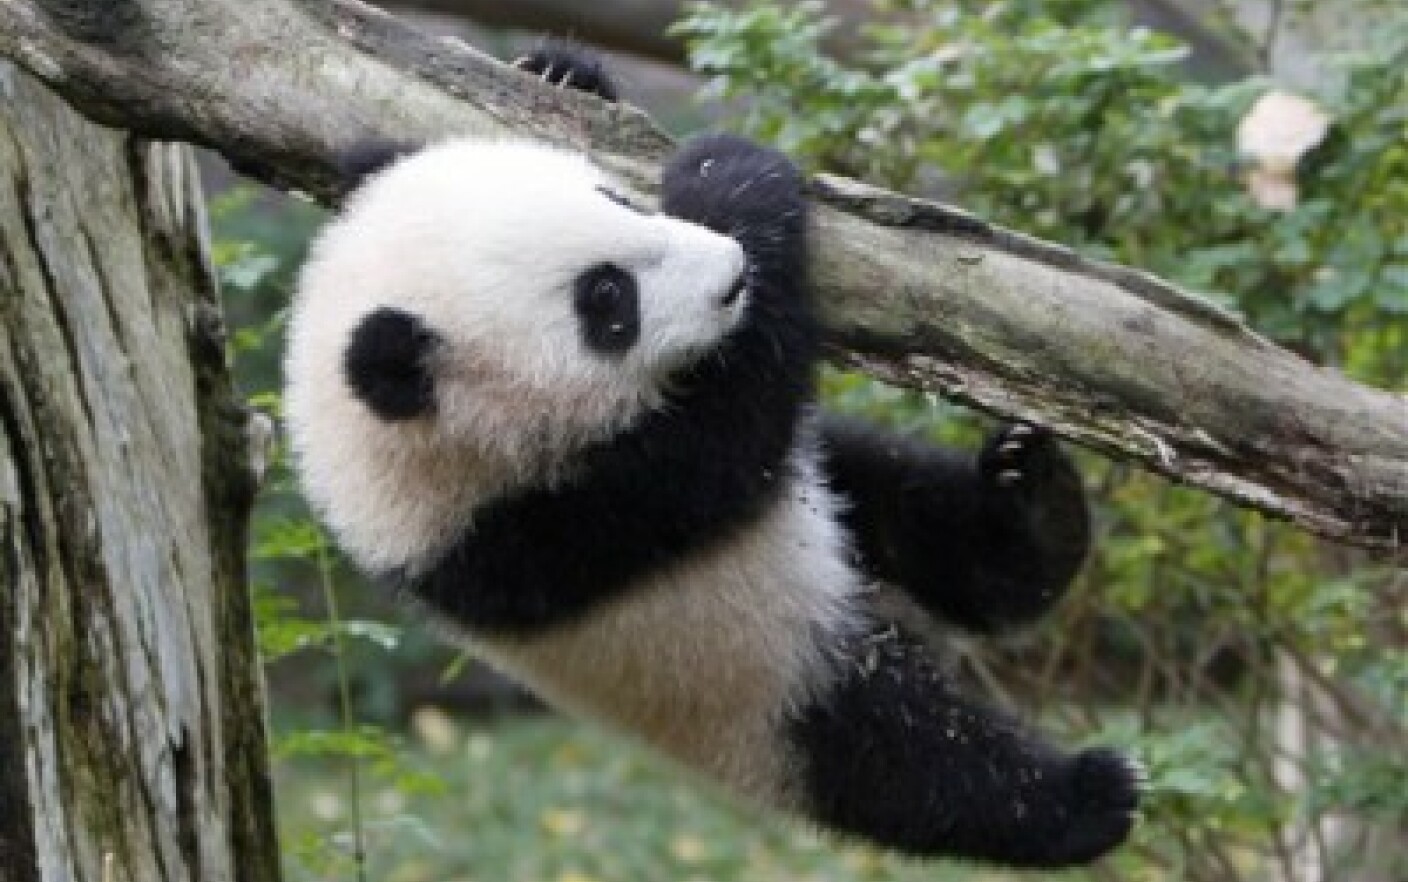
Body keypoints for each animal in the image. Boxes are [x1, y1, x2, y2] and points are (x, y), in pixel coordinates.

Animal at [284, 43, 1142, 870]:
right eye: (607, 300)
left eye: (616, 200)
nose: (730, 273)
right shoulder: (545, 522)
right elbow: (735, 425)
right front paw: (737, 182)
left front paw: (564, 73)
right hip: (761, 687)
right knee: (911, 766)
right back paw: (1087, 797)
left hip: (830, 510)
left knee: (918, 514)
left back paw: (1037, 510)